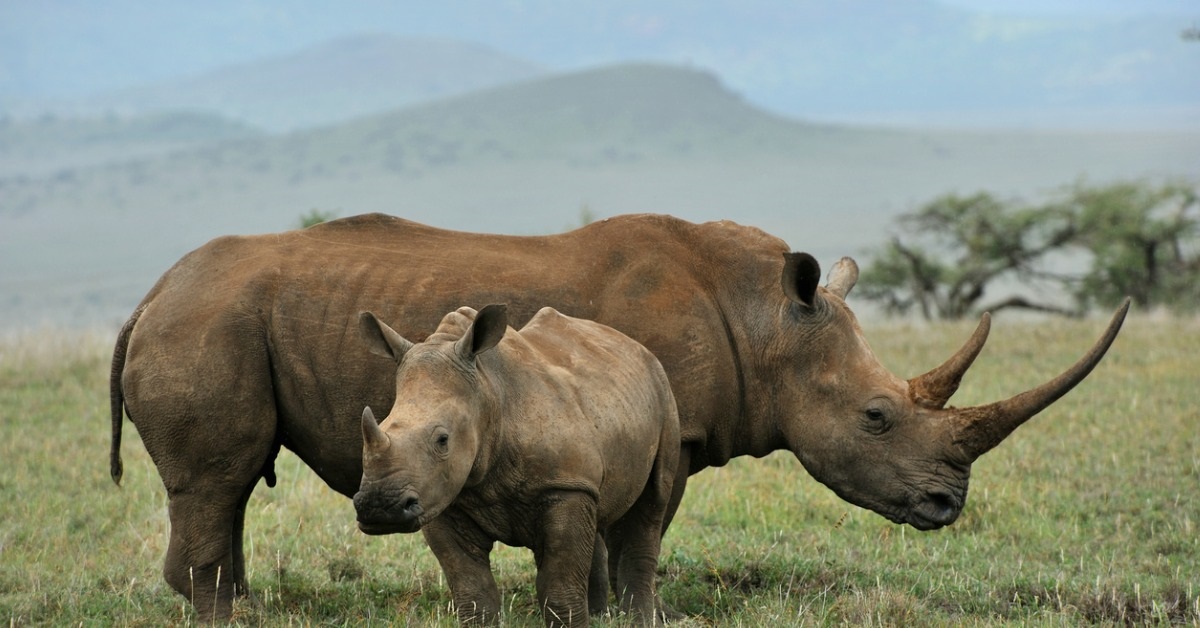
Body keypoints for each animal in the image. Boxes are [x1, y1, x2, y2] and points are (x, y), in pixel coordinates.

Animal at [353, 304, 679, 626]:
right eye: (381, 426)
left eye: (443, 440)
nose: (379, 507)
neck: (489, 394)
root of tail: (631, 344)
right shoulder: (442, 496)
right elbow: (473, 592)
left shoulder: (565, 486)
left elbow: (559, 589)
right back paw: (601, 614)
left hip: (663, 390)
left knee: (652, 502)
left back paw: (640, 620)